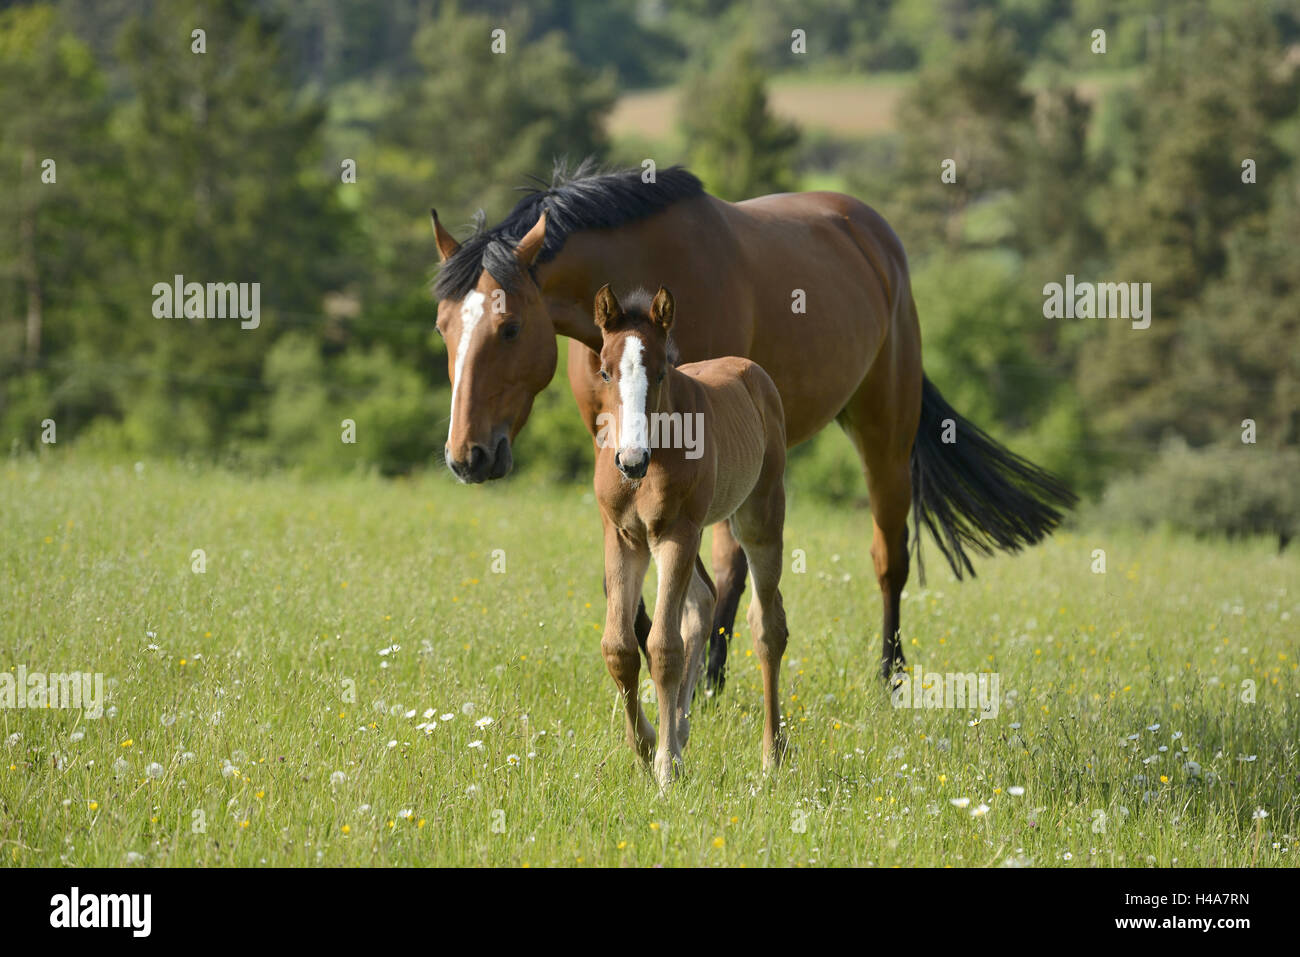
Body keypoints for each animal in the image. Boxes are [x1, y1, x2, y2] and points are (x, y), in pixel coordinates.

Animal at [431, 161, 1075, 691]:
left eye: (510, 327)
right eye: (442, 326)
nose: (467, 456)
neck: (640, 276)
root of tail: (874, 237)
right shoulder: (614, 449)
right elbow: (629, 574)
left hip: (882, 434)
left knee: (884, 556)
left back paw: (885, 678)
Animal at [589, 283, 787, 785]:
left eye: (661, 373)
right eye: (604, 371)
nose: (630, 460)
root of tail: (752, 371)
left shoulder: (677, 533)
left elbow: (663, 646)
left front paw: (665, 768)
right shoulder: (623, 537)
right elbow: (620, 646)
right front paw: (646, 746)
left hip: (758, 517)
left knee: (767, 626)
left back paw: (772, 756)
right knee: (702, 599)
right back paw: (678, 728)